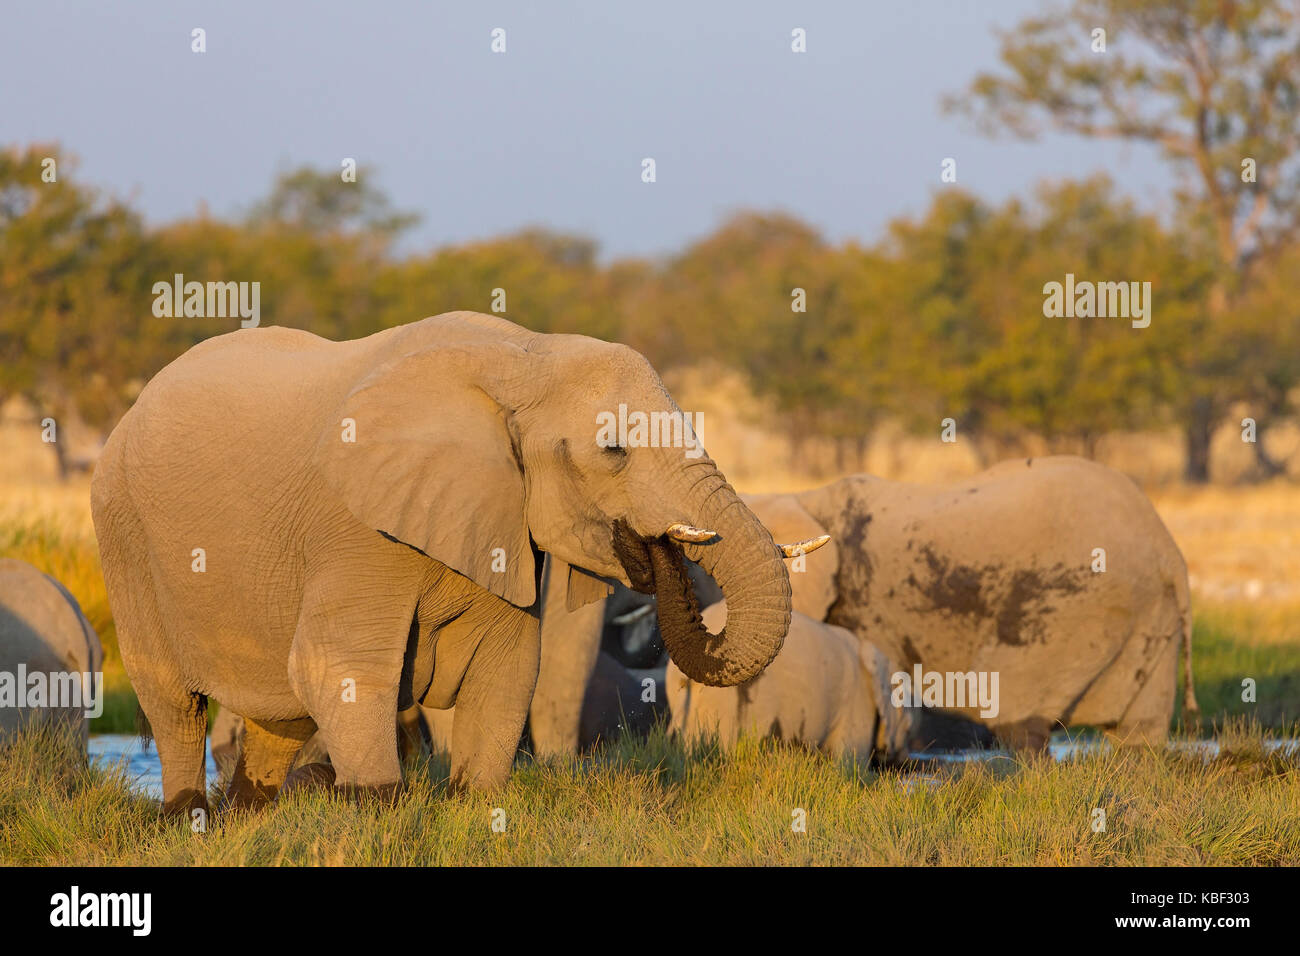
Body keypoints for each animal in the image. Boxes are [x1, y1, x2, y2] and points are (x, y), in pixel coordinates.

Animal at [93, 311, 809, 816]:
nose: (650, 546)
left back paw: (248, 818)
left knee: (279, 714)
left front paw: (474, 804)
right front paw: (376, 810)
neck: (527, 354)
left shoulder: (504, 524)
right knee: (173, 699)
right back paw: (191, 816)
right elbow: (336, 666)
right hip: (122, 533)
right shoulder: (354, 529)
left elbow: (510, 665)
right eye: (613, 450)